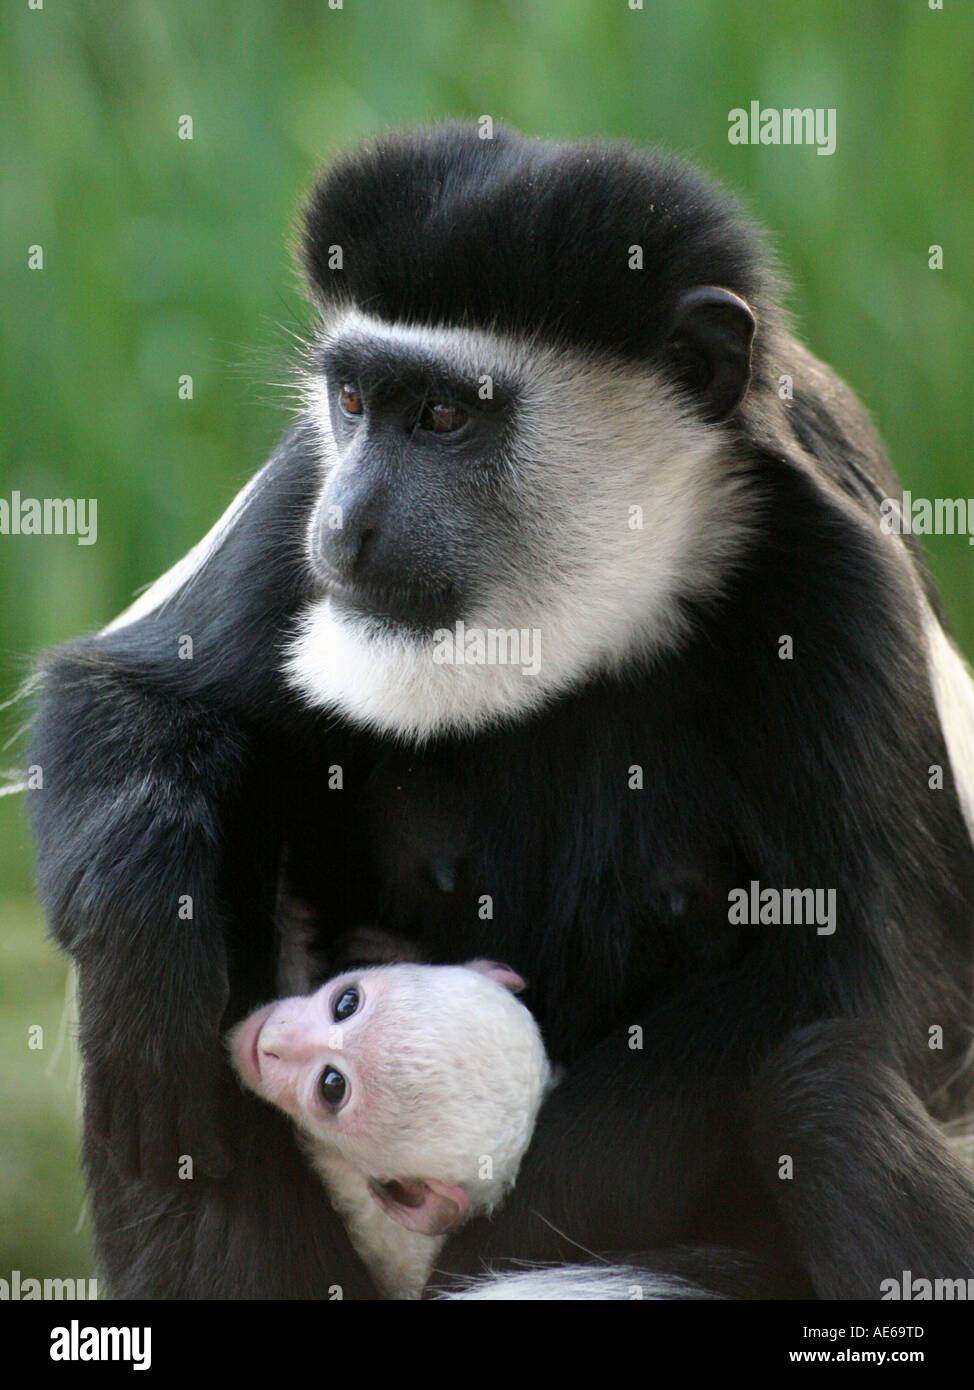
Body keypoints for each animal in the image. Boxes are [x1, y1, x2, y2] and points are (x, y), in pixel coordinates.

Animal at [28, 123, 974, 1298]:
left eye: (444, 415)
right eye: (353, 403)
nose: (340, 533)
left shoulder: (839, 592)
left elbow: (868, 992)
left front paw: (499, 1233)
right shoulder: (297, 484)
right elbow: (133, 689)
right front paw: (149, 937)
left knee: (830, 1086)